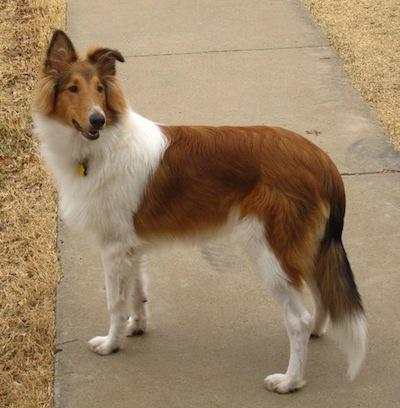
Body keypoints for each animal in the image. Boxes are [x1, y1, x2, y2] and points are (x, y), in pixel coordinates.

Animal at [32, 30, 368, 394]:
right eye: (72, 88)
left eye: (99, 90)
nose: (97, 119)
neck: (106, 144)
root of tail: (322, 161)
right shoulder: (131, 247)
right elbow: (138, 292)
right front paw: (137, 327)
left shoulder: (114, 248)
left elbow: (115, 302)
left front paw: (111, 344)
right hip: (307, 248)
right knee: (321, 294)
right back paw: (317, 332)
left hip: (270, 250)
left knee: (298, 319)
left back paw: (289, 380)